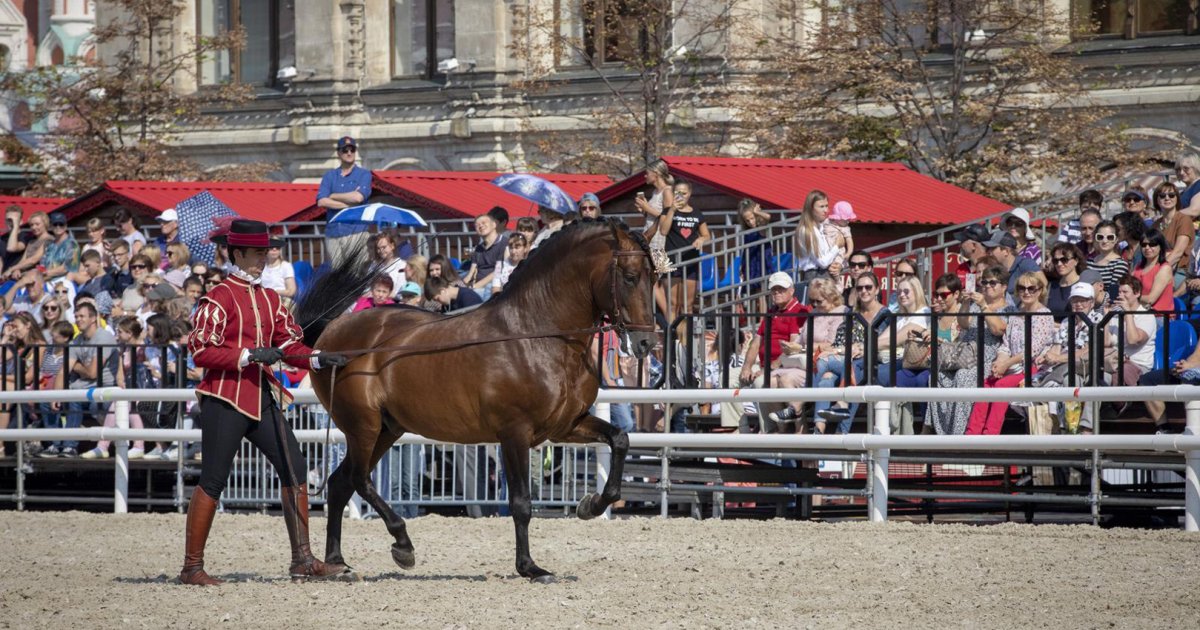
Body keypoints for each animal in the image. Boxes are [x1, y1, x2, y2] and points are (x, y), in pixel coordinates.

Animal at [293, 218, 659, 582]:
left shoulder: (566, 426)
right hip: (363, 427)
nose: (645, 343)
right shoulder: (515, 433)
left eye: (654, 277)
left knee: (340, 483)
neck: (536, 335)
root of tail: (329, 335)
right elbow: (521, 503)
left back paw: (337, 562)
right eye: (629, 276)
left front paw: (590, 506)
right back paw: (402, 545)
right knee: (357, 480)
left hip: (387, 430)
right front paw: (530, 567)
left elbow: (620, 440)